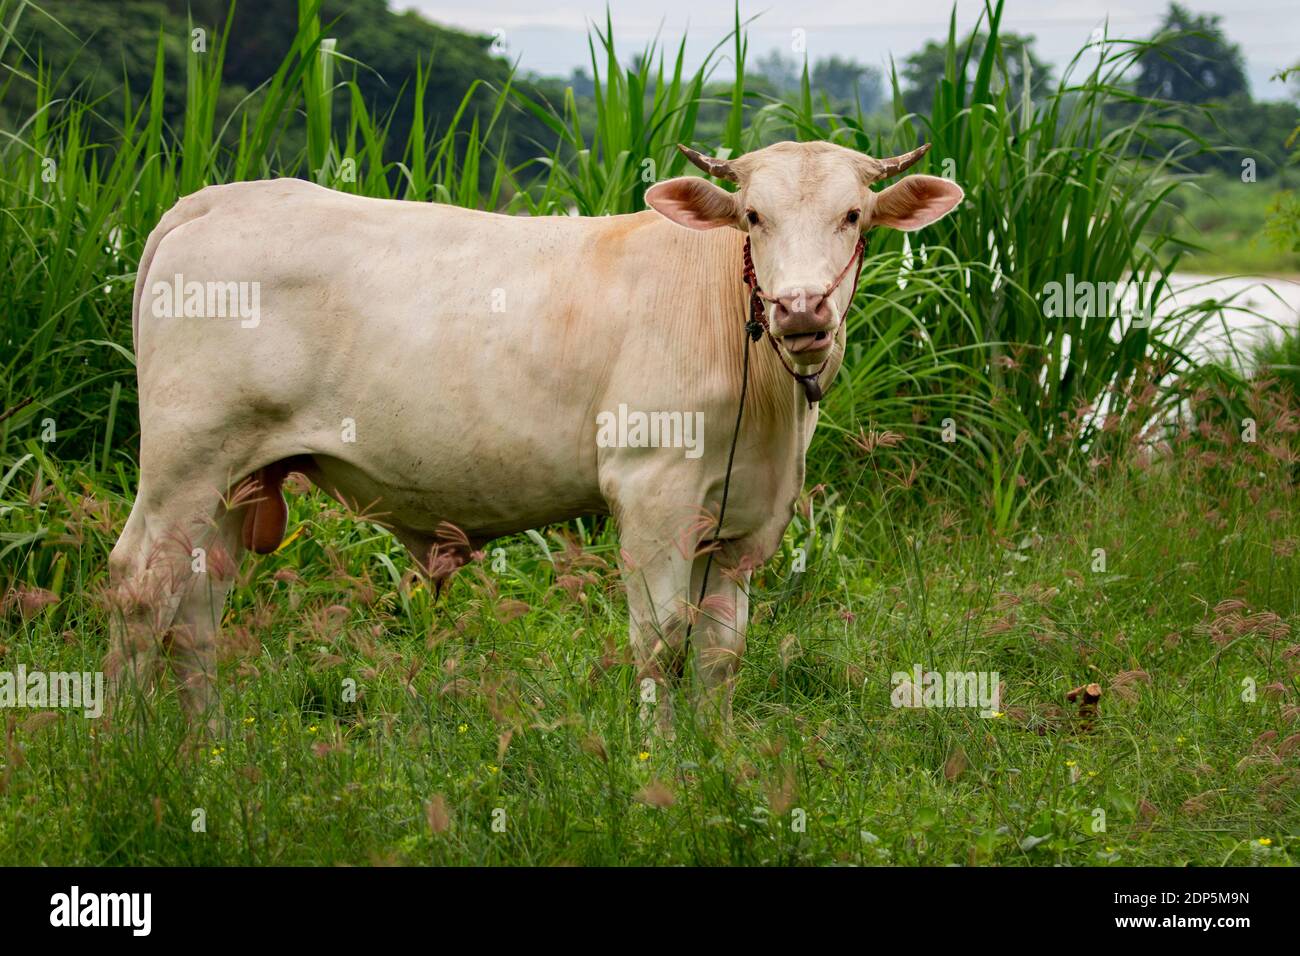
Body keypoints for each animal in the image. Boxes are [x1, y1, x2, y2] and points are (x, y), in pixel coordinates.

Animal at [106, 139, 963, 731]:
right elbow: (659, 641)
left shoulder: (745, 519)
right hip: (185, 462)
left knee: (195, 613)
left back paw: (212, 754)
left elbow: (720, 650)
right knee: (141, 590)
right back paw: (122, 752)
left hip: (235, 478)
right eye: (754, 216)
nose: (802, 310)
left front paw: (719, 761)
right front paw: (660, 770)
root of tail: (213, 201)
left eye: (853, 216)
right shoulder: (651, 490)